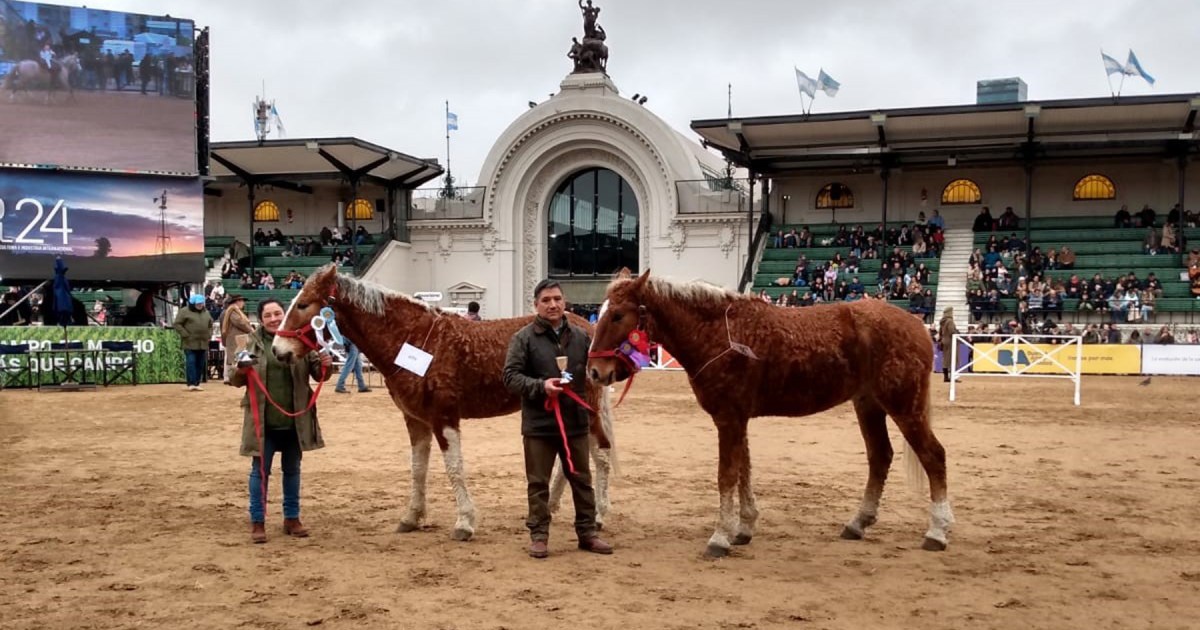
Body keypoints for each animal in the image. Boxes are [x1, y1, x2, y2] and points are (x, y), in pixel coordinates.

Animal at [271, 264, 616, 541]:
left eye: (303, 304)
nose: (278, 350)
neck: (412, 339)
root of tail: (588, 327)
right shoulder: (416, 420)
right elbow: (417, 468)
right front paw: (411, 517)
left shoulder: (444, 417)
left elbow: (454, 468)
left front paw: (464, 523)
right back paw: (554, 506)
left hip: (587, 409)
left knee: (600, 454)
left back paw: (600, 515)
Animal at [586, 269, 952, 557]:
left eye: (617, 315)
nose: (594, 371)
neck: (719, 334)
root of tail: (917, 325)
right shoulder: (738, 418)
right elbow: (744, 471)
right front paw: (743, 528)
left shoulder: (729, 418)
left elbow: (727, 475)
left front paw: (719, 537)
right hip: (869, 405)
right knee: (880, 457)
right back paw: (858, 523)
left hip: (904, 407)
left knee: (934, 456)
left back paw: (938, 530)